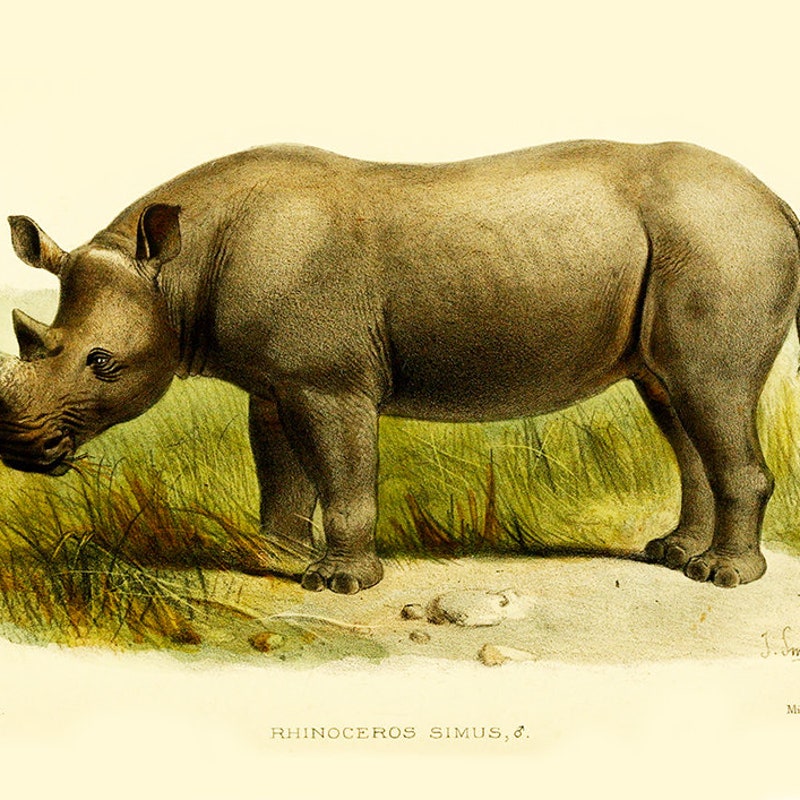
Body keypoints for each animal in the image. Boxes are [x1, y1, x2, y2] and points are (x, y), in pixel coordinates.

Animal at [2, 140, 798, 594]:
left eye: (103, 364)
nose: (16, 449)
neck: (175, 273)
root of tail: (777, 203)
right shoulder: (276, 380)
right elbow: (281, 472)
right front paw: (271, 557)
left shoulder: (330, 381)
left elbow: (344, 476)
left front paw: (339, 583)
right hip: (699, 244)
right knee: (673, 397)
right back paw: (672, 555)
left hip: (724, 239)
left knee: (711, 389)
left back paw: (723, 578)